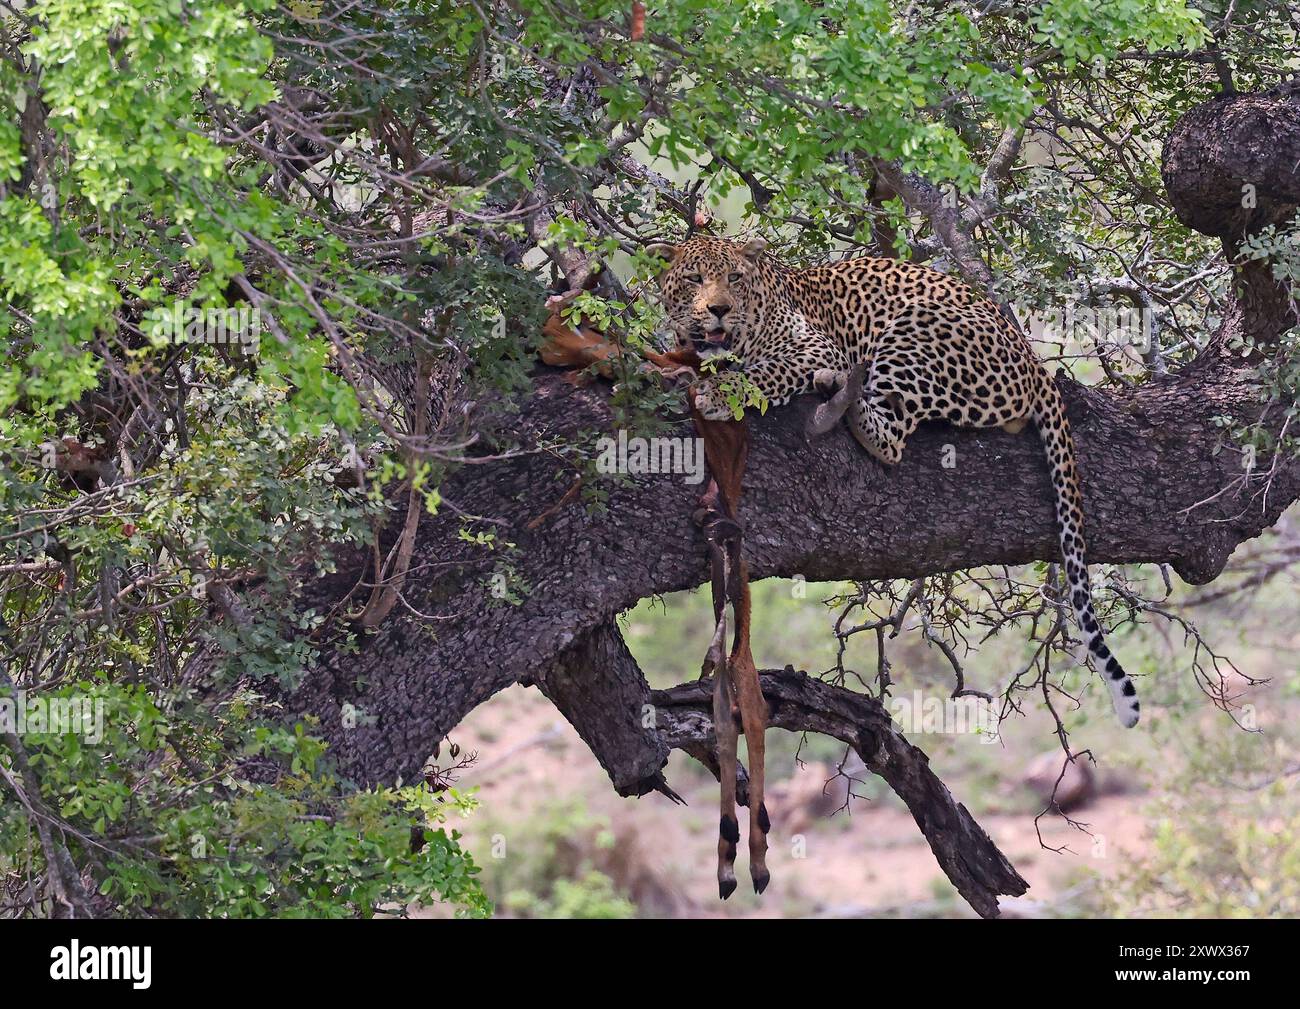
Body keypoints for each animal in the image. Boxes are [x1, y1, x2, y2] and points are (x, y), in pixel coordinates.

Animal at [647, 235, 1140, 728]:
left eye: (734, 278)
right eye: (694, 279)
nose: (719, 309)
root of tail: (1033, 359)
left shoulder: (813, 347)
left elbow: (763, 373)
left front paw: (720, 392)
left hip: (918, 328)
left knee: (892, 436)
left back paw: (837, 398)